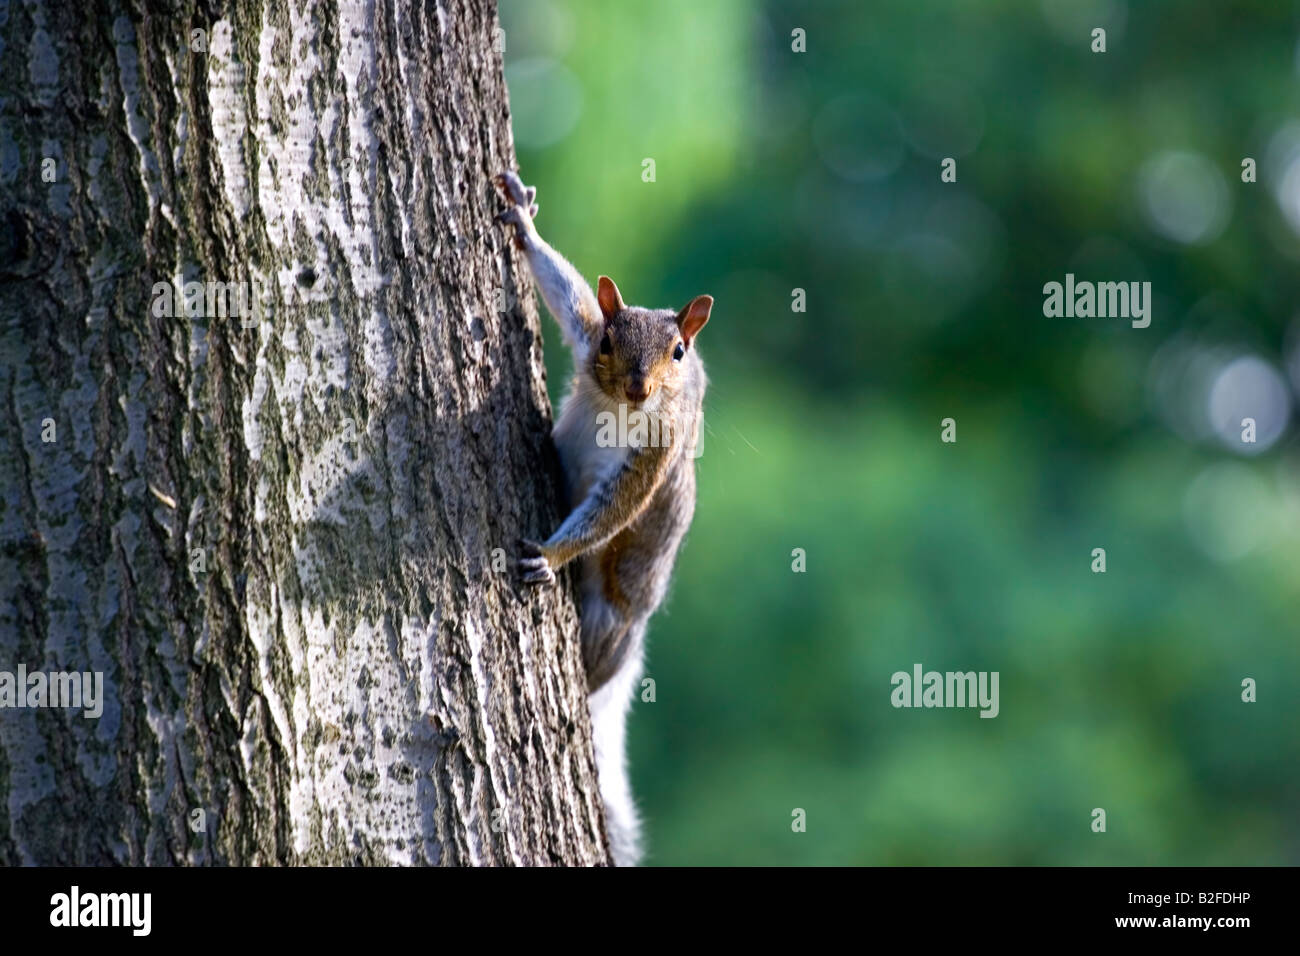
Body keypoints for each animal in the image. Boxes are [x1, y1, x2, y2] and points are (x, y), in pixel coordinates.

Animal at [493, 170, 711, 866]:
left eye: (679, 351)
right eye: (613, 341)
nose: (640, 388)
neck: (623, 408)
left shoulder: (658, 453)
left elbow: (614, 510)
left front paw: (548, 555)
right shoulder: (585, 331)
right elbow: (565, 290)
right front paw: (525, 221)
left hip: (607, 622)